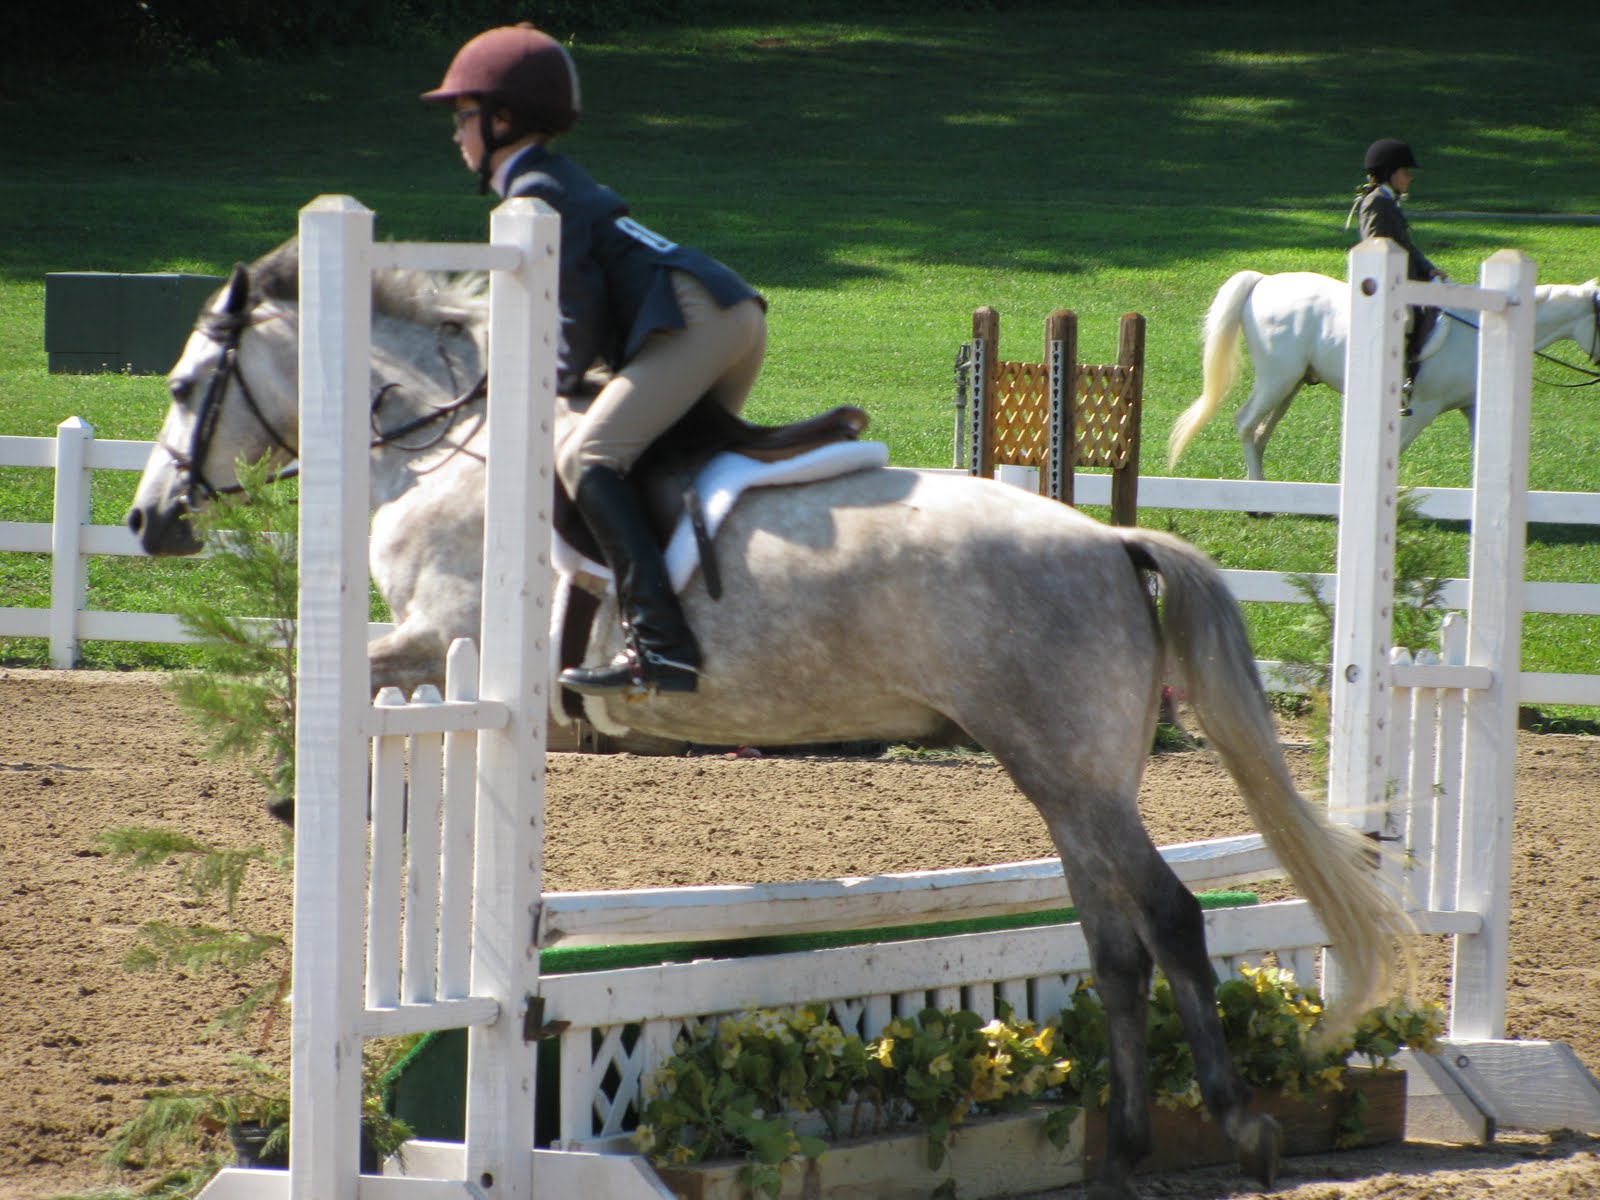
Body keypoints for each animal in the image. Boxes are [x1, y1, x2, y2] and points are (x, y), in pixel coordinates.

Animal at [126, 240, 1411, 1199]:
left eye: (185, 388)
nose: (149, 522)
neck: (451, 451)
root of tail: (1109, 542)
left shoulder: (451, 638)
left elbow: (327, 676)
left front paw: (298, 794)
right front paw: (299, 796)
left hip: (1073, 774)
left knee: (1171, 920)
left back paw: (1238, 1129)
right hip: (1063, 777)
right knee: (1113, 944)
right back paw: (1128, 1147)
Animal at [1168, 269, 1600, 480]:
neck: (1482, 331)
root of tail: (1264, 281)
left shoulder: (1473, 406)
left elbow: (1482, 458)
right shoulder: (1422, 409)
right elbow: (1394, 451)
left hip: (1290, 384)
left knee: (1259, 432)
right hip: (1277, 379)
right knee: (1245, 424)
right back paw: (1256, 502)